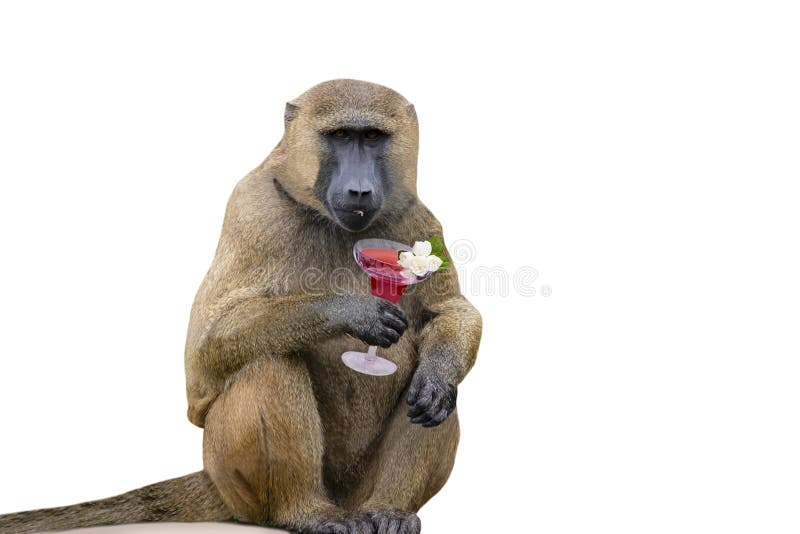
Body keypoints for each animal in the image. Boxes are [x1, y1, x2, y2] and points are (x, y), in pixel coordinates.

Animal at [0, 79, 482, 534]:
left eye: (374, 137)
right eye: (342, 135)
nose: (360, 190)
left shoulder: (420, 221)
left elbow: (449, 314)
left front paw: (436, 374)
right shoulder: (252, 208)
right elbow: (204, 351)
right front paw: (356, 312)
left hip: (354, 487)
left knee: (433, 386)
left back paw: (390, 508)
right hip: (233, 473)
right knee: (268, 361)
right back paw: (305, 512)